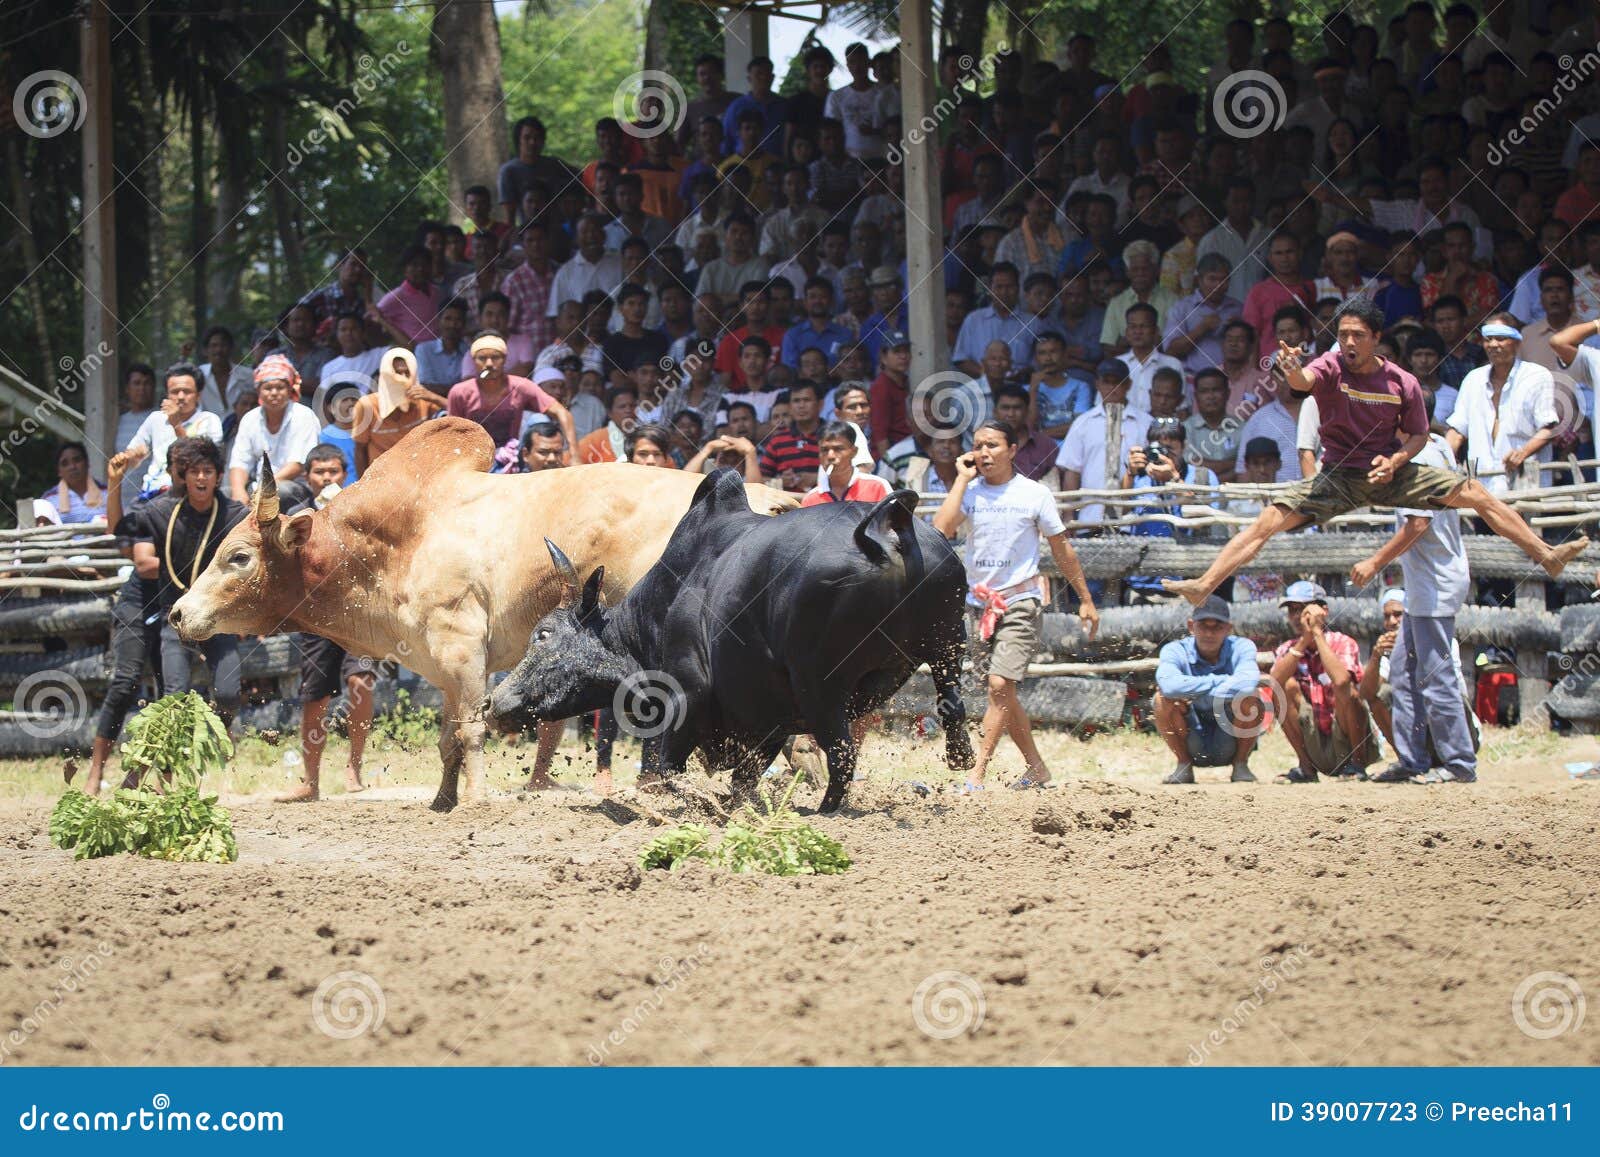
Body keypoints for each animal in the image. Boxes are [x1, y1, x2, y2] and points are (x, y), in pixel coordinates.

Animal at [168, 418, 796, 810]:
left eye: (239, 556)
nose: (177, 613)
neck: (402, 540)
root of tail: (770, 499)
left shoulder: (461, 647)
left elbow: (471, 730)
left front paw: (474, 801)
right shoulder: (440, 665)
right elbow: (449, 736)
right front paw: (442, 801)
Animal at [486, 467, 976, 813]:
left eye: (543, 634)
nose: (496, 702)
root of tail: (885, 526)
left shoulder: (688, 698)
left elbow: (670, 772)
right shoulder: (770, 719)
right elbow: (742, 780)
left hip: (820, 684)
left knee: (841, 758)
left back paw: (825, 813)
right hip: (947, 647)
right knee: (952, 706)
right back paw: (958, 757)